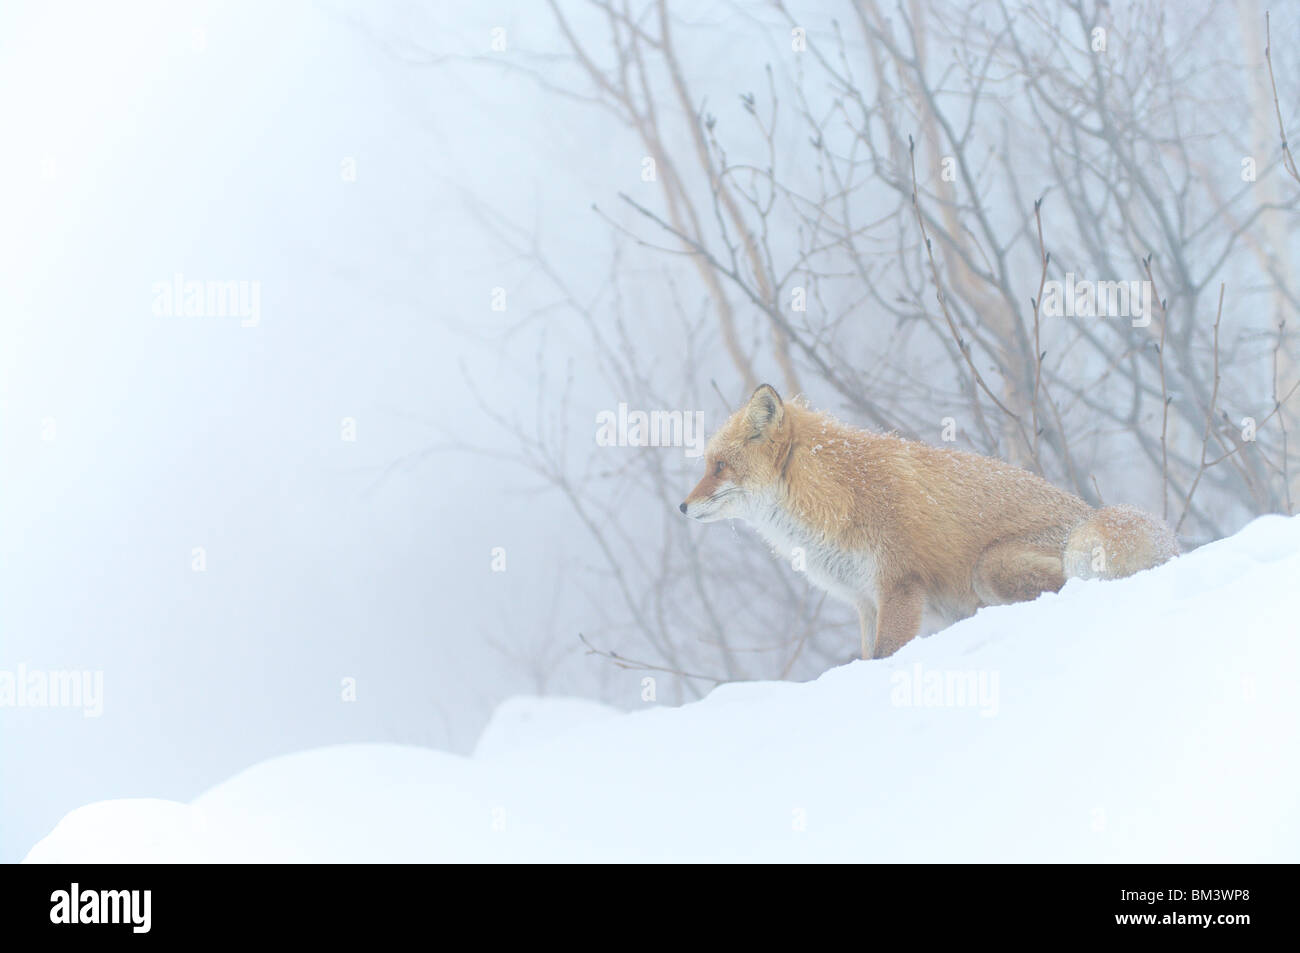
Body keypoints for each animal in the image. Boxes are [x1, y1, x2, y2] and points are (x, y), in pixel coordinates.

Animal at [679, 384, 1178, 660]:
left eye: (719, 466)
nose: (682, 507)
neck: (838, 494)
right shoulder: (864, 602)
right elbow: (868, 657)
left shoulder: (899, 583)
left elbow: (885, 655)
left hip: (992, 567)